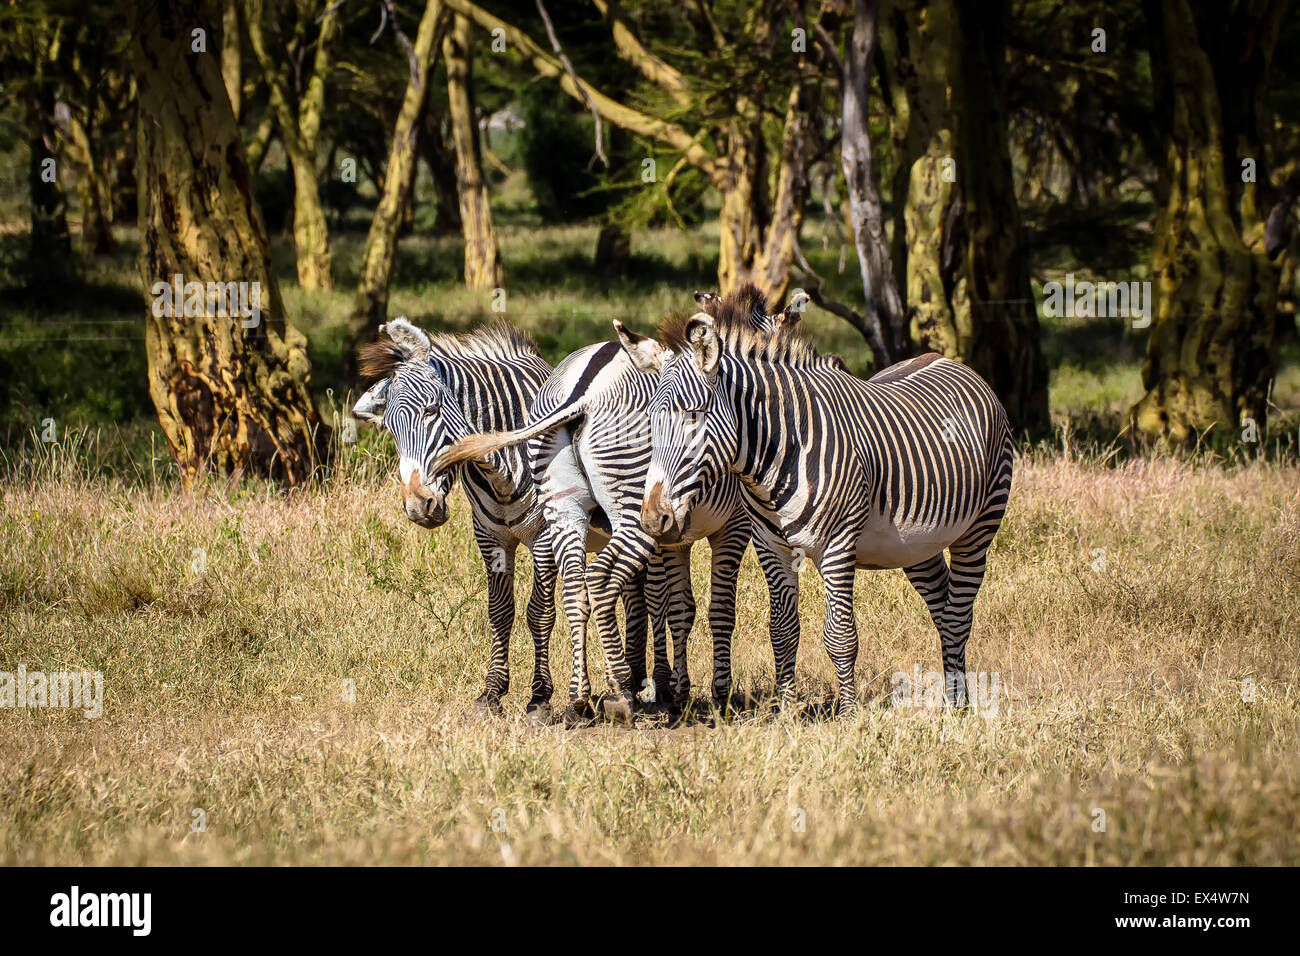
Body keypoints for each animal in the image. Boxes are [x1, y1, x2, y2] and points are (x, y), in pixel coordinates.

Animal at [352, 317, 652, 724]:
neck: (498, 467)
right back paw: (628, 682)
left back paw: (632, 686)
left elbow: (539, 613)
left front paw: (540, 698)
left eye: (432, 410)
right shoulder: (489, 535)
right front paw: (492, 692)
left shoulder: (543, 535)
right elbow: (500, 612)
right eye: (391, 428)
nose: (418, 506)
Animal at [434, 287, 807, 726]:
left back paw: (580, 698)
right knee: (598, 579)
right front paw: (715, 695)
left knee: (576, 587)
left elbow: (674, 606)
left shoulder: (673, 536)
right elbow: (713, 609)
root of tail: (580, 390)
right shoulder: (731, 527)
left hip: (566, 509)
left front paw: (672, 690)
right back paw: (620, 692)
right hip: (629, 509)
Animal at [624, 310, 1014, 715]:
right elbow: (782, 630)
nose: (653, 519)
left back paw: (959, 708)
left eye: (693, 416)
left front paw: (848, 714)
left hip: (979, 528)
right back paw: (953, 699)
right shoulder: (770, 546)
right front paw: (786, 711)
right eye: (650, 420)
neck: (778, 455)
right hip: (917, 544)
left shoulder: (838, 545)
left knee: (958, 614)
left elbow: (840, 634)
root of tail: (952, 362)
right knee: (942, 607)